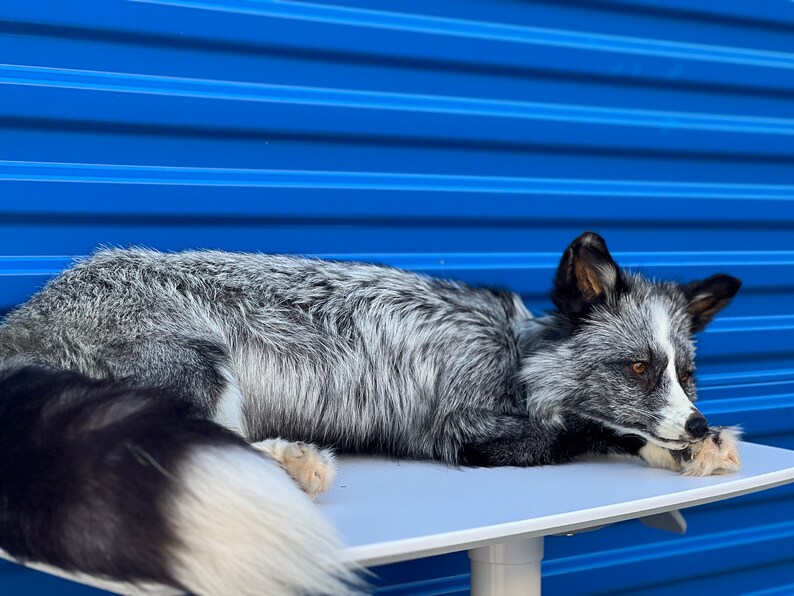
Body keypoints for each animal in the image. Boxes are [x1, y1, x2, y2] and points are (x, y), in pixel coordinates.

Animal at [0, 232, 741, 593]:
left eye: (686, 374)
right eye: (639, 369)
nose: (698, 423)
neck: (513, 352)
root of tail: (25, 316)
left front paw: (692, 447)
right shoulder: (461, 434)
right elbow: (581, 431)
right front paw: (671, 447)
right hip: (204, 363)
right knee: (203, 430)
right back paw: (293, 463)